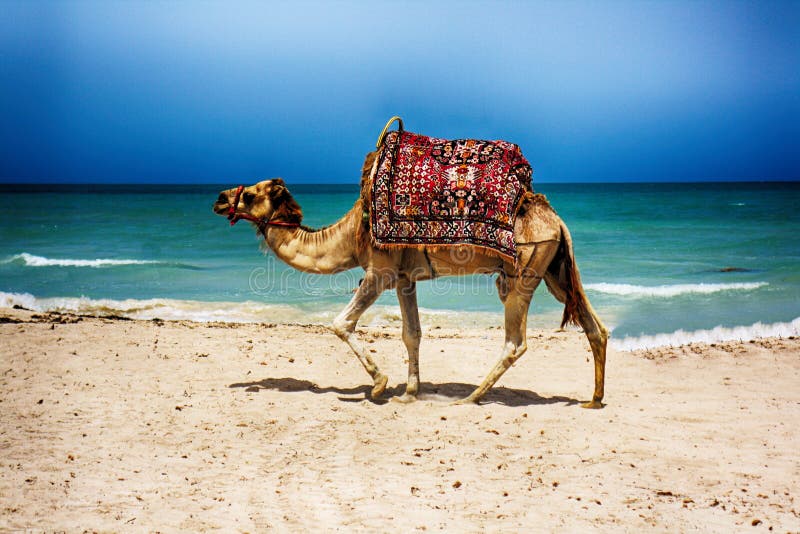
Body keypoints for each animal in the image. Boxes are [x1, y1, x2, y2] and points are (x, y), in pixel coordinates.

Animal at [212, 152, 608, 407]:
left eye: (251, 194)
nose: (219, 198)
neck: (352, 234)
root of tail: (556, 220)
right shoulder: (405, 278)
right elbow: (411, 334)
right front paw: (409, 392)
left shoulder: (380, 271)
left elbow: (341, 324)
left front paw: (379, 385)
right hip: (555, 269)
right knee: (595, 327)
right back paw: (594, 399)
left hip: (526, 269)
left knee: (516, 342)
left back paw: (472, 397)